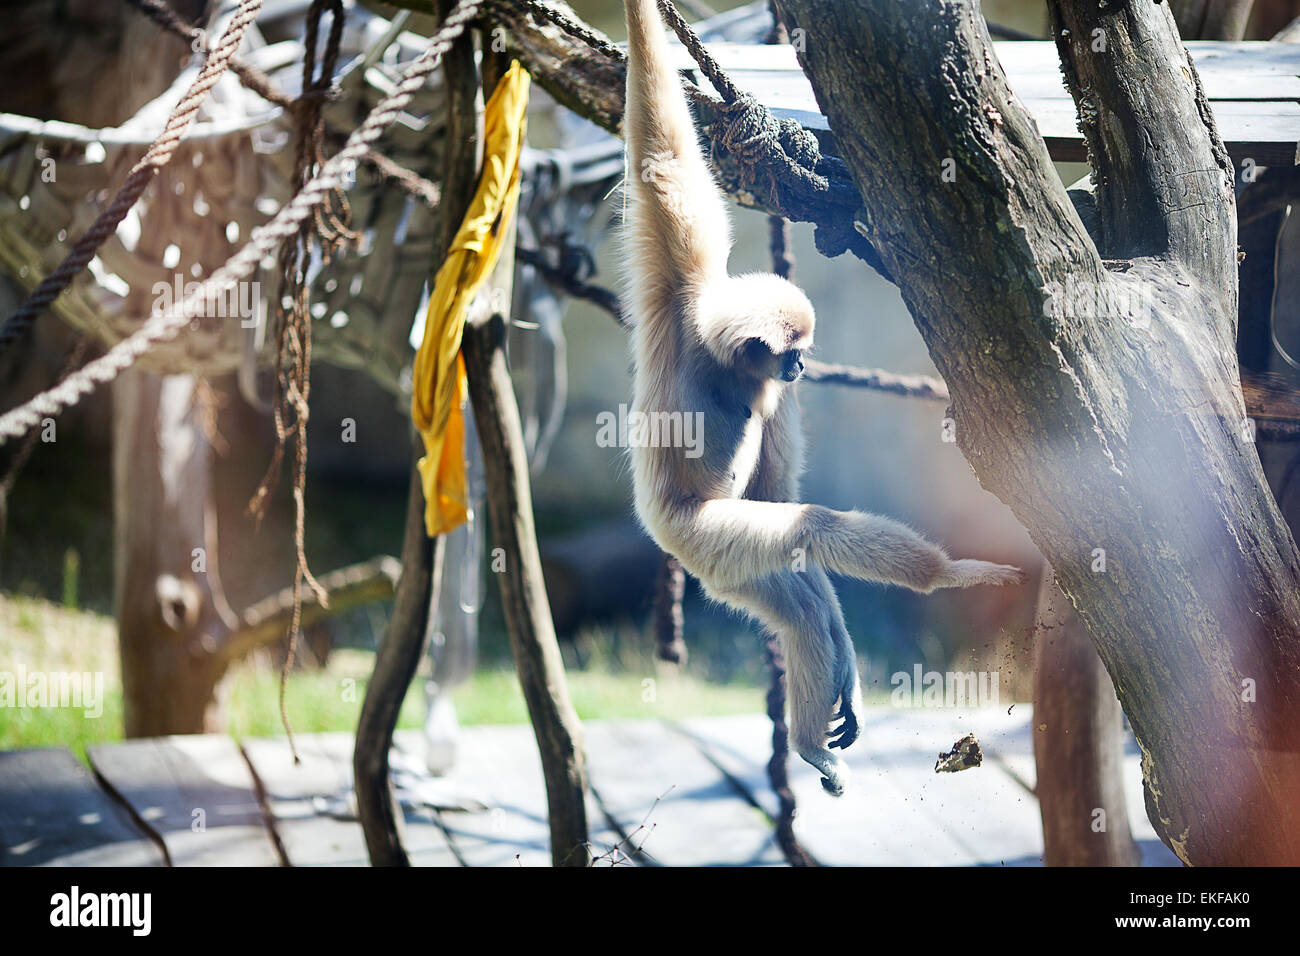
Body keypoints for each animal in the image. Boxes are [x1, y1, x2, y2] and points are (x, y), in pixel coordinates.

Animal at [620, 0, 1025, 796]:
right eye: (794, 349)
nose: (805, 366)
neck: (715, 359)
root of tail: (665, 533)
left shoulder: (715, 324)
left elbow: (665, 156)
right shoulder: (680, 307)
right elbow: (664, 162)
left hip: (724, 561)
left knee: (798, 591)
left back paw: (821, 708)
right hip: (704, 537)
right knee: (809, 538)